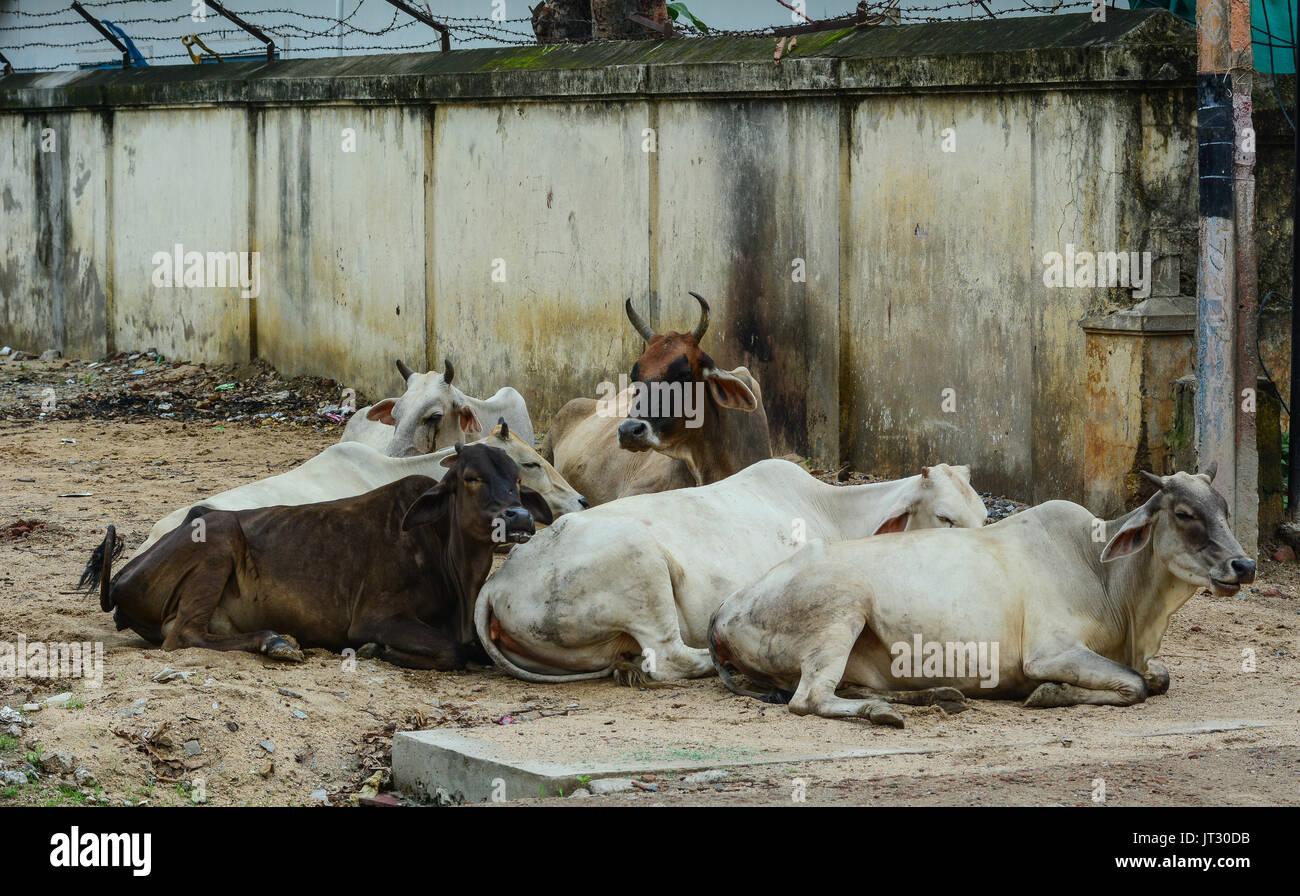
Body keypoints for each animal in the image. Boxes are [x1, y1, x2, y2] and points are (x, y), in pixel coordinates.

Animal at [80, 443, 552, 669]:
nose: (519, 515)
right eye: (471, 478)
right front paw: (376, 650)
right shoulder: (376, 616)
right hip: (218, 538)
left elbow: (466, 650)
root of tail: (120, 580)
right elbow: (452, 651)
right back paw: (275, 641)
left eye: (516, 478)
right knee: (184, 636)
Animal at [476, 459, 987, 684]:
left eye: (983, 516)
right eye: (944, 518)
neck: (834, 511)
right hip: (640, 563)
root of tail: (499, 580)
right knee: (668, 658)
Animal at [707, 467, 1255, 727]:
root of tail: (726, 608)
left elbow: (1156, 678)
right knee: (810, 699)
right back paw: (884, 713)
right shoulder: (1049, 652)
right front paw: (1048, 694)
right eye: (1184, 513)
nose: (1244, 566)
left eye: (1225, 509)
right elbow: (1137, 685)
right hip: (842, 612)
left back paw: (937, 696)